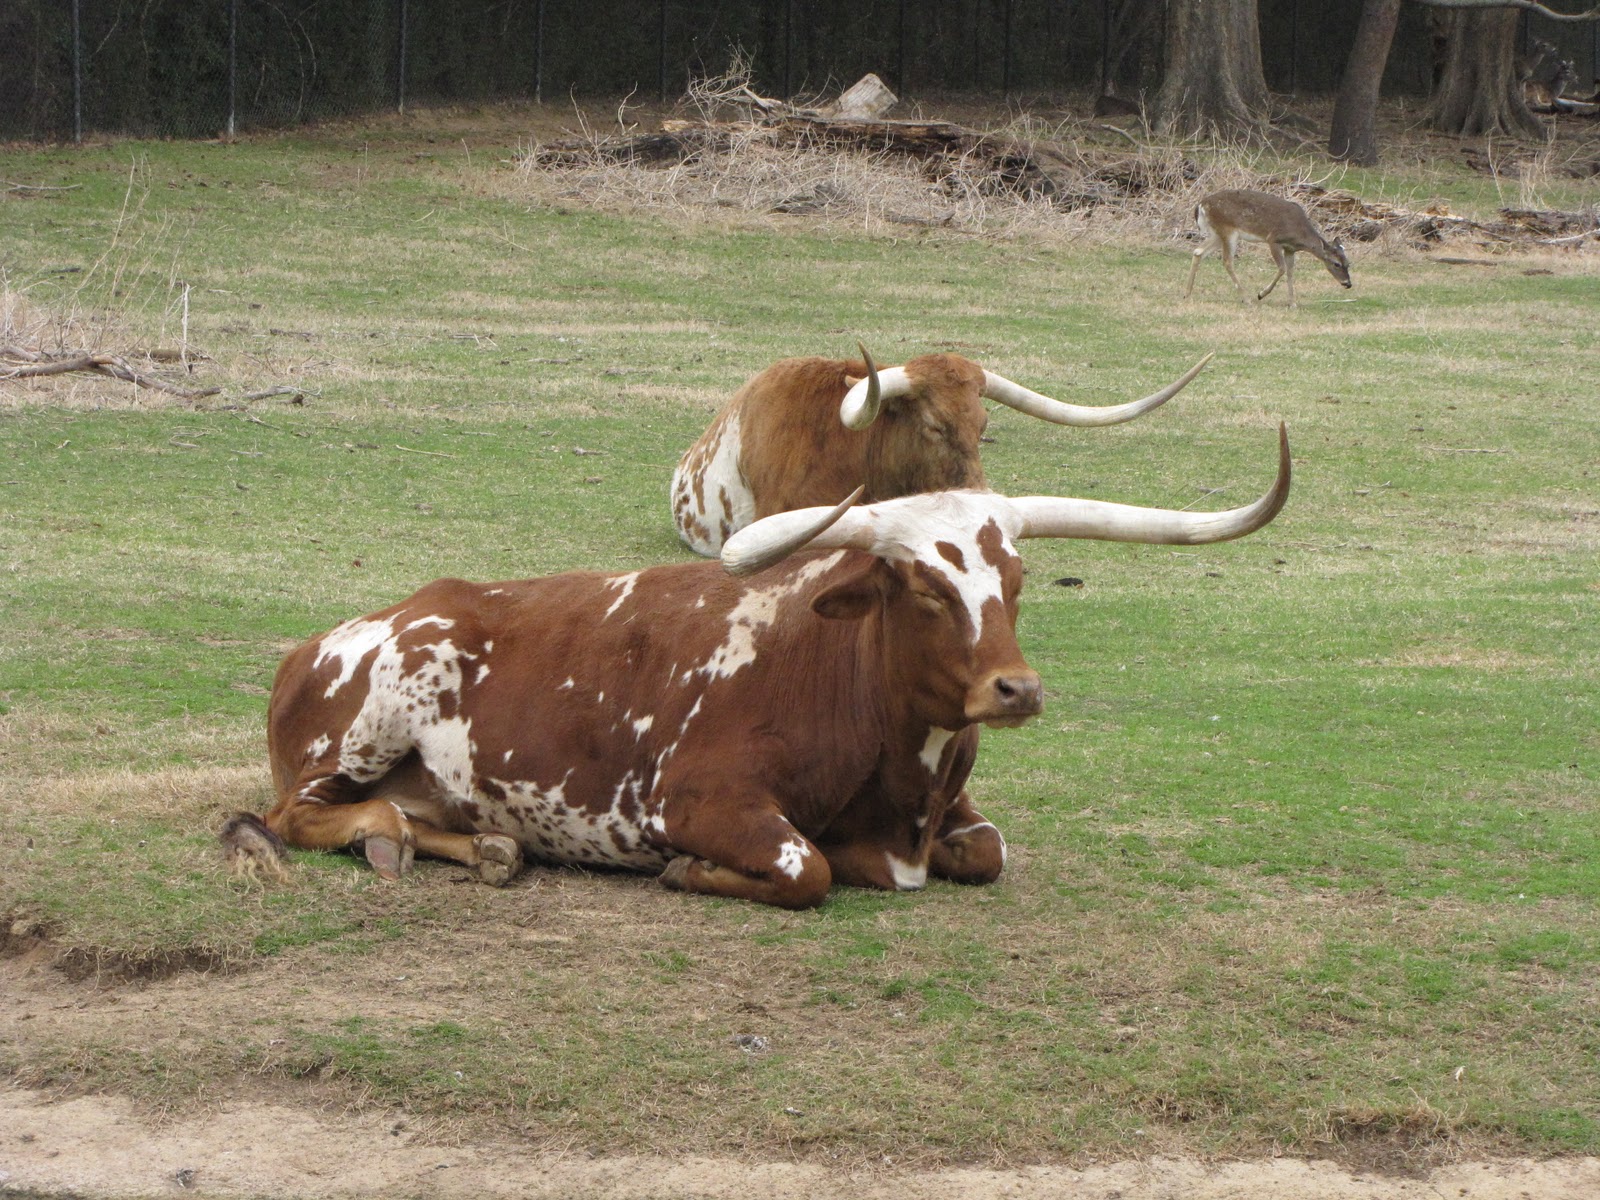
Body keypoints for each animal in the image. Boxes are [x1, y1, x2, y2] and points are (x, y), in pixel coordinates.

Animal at [223, 427, 1289, 908]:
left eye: (1017, 580)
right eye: (924, 588)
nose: (1014, 690)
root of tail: (318, 641)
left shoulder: (956, 816)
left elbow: (985, 851)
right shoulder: (697, 798)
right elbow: (803, 865)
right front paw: (693, 871)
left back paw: (481, 846)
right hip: (372, 720)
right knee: (295, 815)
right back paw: (393, 836)